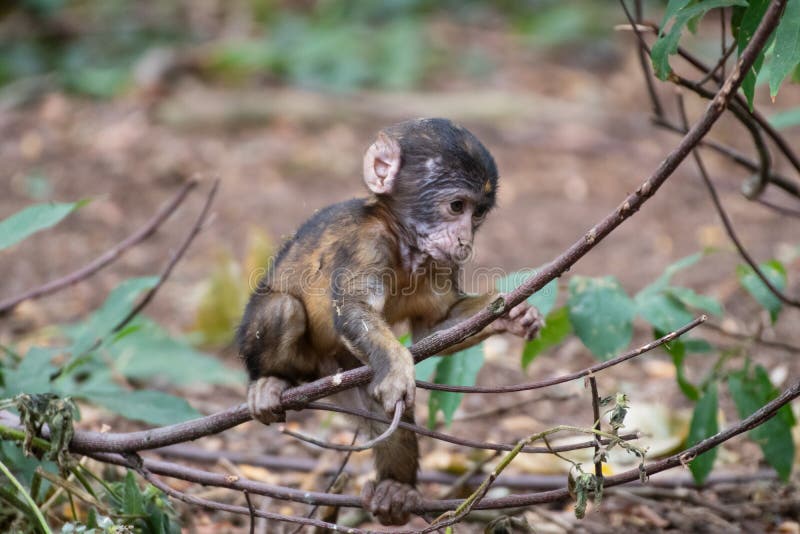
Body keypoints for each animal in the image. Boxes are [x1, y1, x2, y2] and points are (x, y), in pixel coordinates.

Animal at [237, 118, 543, 526]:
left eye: (477, 213)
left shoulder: (440, 262)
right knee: (283, 308)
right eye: (456, 206)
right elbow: (354, 309)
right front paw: (398, 370)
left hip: (343, 369)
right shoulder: (366, 243)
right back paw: (271, 381)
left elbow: (435, 325)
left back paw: (395, 489)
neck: (403, 240)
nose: (465, 240)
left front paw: (512, 314)